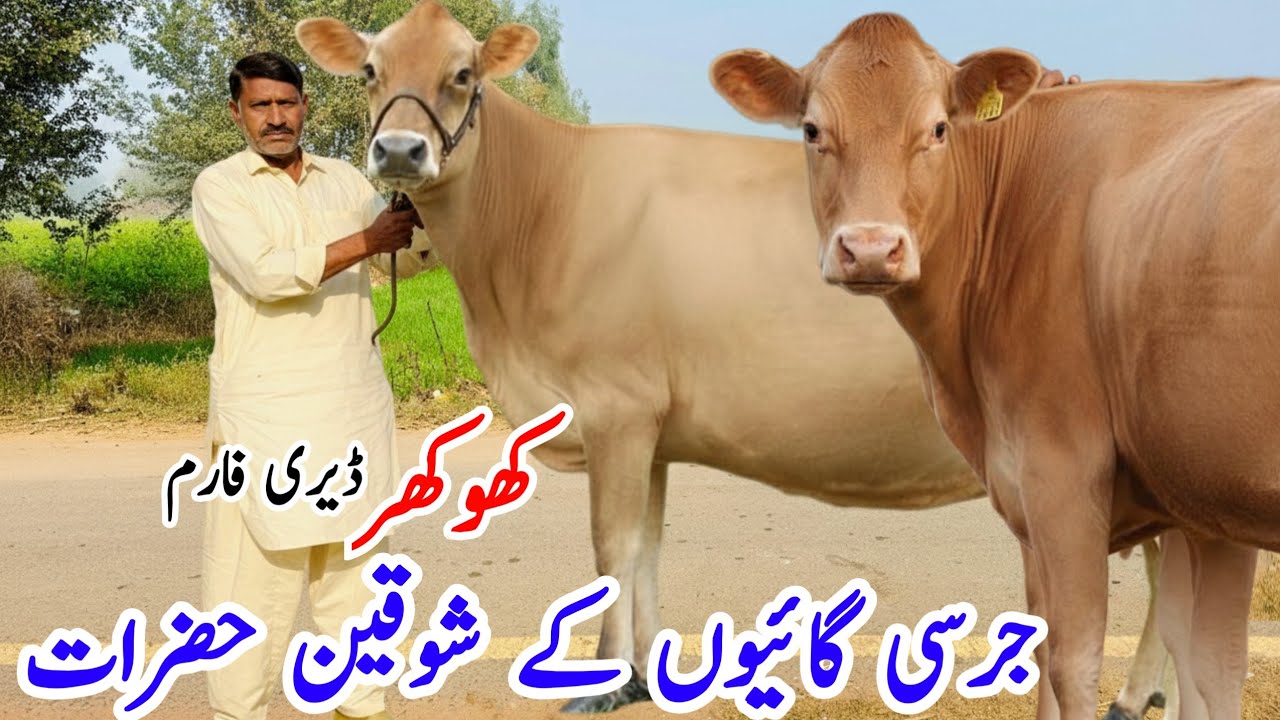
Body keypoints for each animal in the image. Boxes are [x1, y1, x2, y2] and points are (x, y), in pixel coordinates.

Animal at [296, 3, 1173, 714]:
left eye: (463, 74)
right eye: (371, 73)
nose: (399, 151)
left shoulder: (614, 406)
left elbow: (611, 549)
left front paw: (599, 684)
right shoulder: (649, 422)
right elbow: (645, 547)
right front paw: (641, 676)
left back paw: (1137, 694)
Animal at [710, 12, 1271, 720]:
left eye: (938, 128)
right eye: (812, 130)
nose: (871, 248)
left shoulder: (1061, 474)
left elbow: (1073, 659)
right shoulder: (1196, 502)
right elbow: (1204, 661)